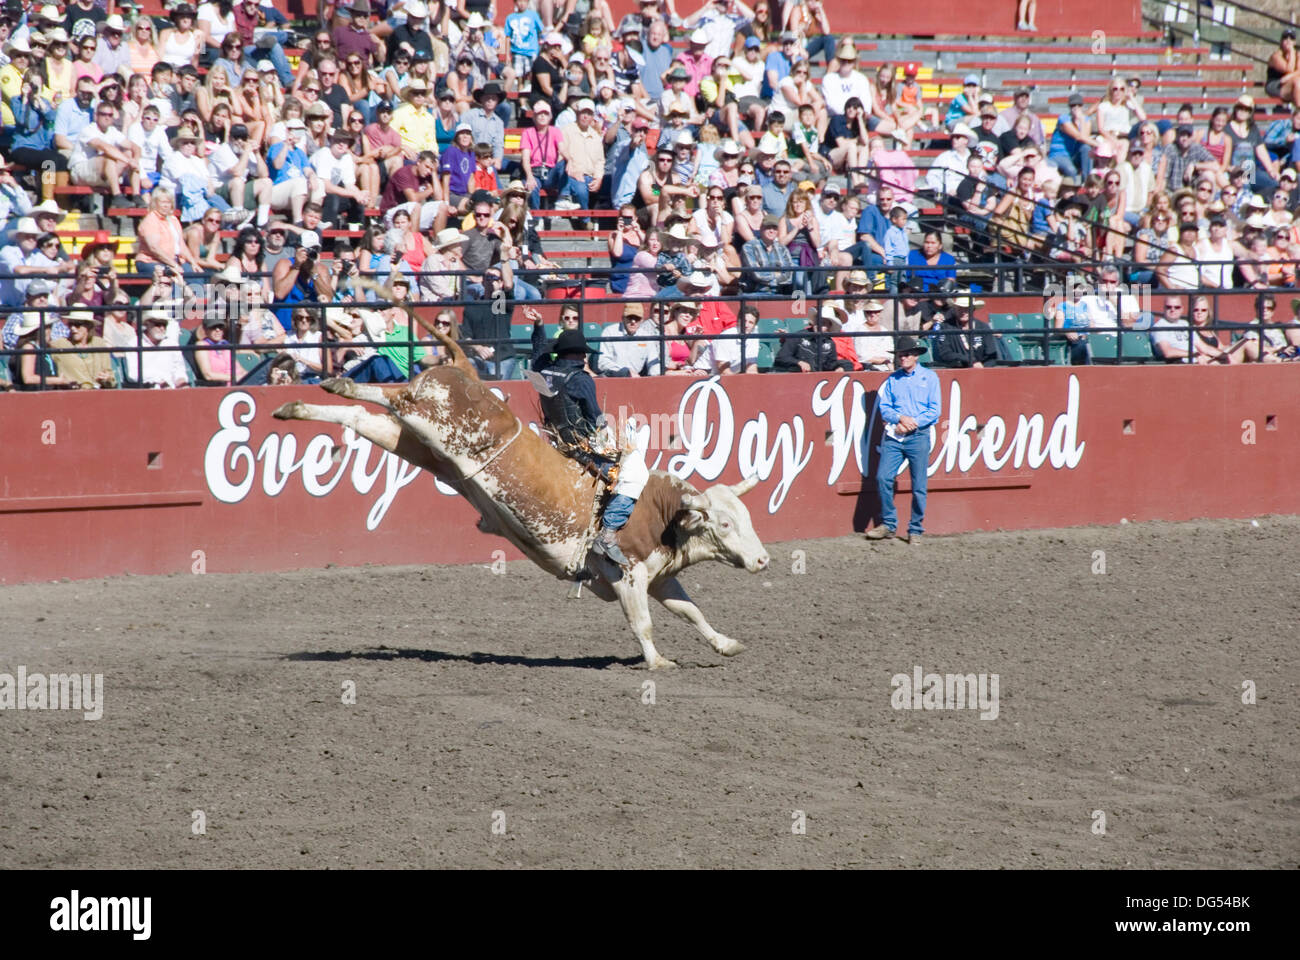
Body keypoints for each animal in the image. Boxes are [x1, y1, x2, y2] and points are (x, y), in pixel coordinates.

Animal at [272, 323, 769, 670]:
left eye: (747, 518)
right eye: (725, 523)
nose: (764, 560)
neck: (658, 510)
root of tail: (464, 369)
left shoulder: (661, 577)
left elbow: (692, 612)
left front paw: (726, 644)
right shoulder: (626, 576)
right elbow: (642, 621)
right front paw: (658, 662)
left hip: (418, 442)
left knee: (361, 417)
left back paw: (300, 403)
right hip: (425, 418)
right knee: (389, 395)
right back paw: (340, 384)